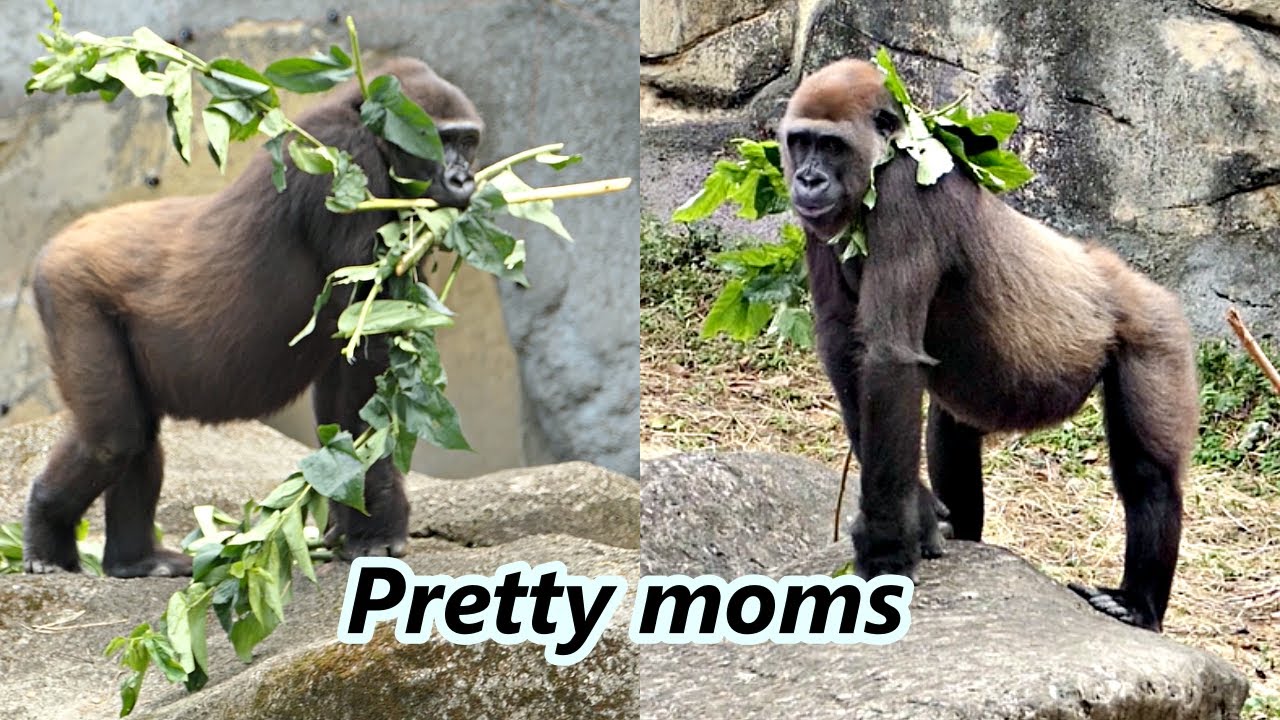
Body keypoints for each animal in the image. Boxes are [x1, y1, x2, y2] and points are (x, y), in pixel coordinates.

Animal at [23, 58, 483, 578]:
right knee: (112, 438)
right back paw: (45, 535)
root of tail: (55, 246)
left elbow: (345, 385)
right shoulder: (348, 160)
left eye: (468, 142)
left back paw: (134, 560)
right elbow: (369, 357)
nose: (463, 179)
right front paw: (377, 527)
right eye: (439, 140)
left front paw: (348, 520)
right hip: (69, 291)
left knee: (135, 433)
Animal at [778, 59, 1197, 631]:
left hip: (1156, 328)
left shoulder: (908, 194)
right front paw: (919, 512)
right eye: (800, 143)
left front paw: (886, 545)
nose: (808, 179)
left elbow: (887, 359)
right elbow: (844, 345)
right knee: (951, 433)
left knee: (1148, 475)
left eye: (832, 146)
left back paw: (1139, 603)